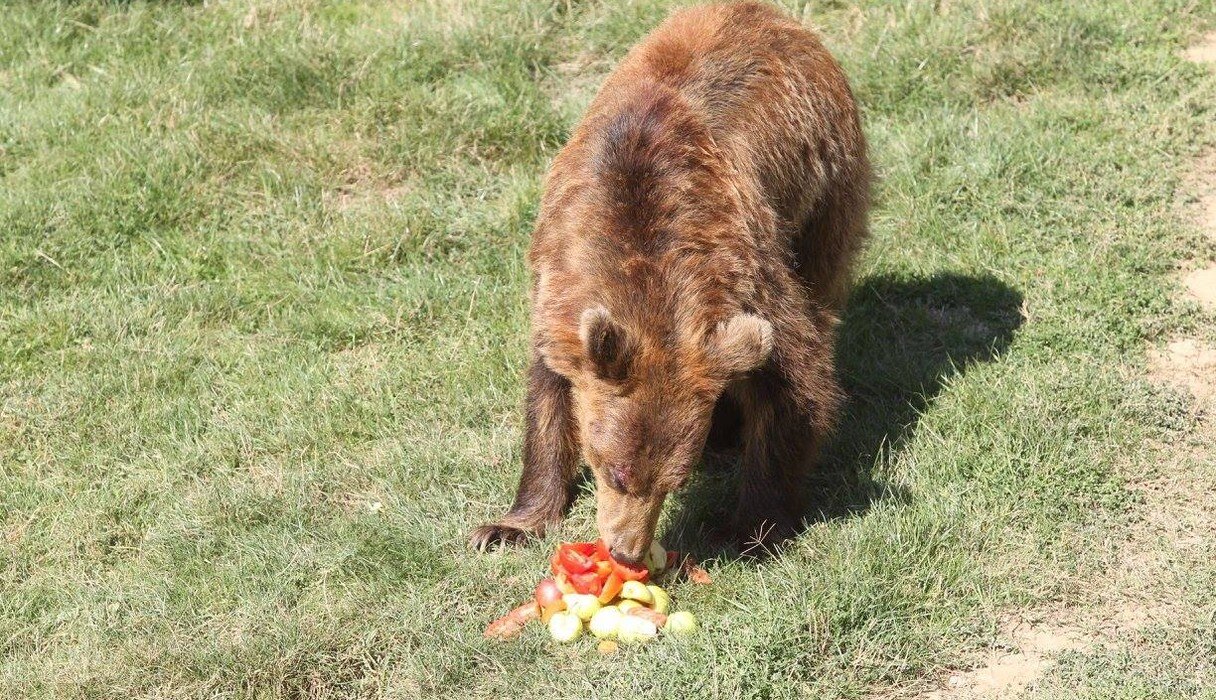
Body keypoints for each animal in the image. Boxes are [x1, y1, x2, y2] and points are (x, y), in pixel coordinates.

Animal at [469, 1, 870, 564]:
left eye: (672, 482)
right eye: (616, 470)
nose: (624, 551)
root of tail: (777, 18)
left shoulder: (748, 268)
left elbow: (794, 378)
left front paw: (749, 527)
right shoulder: (559, 273)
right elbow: (549, 390)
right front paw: (510, 524)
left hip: (822, 188)